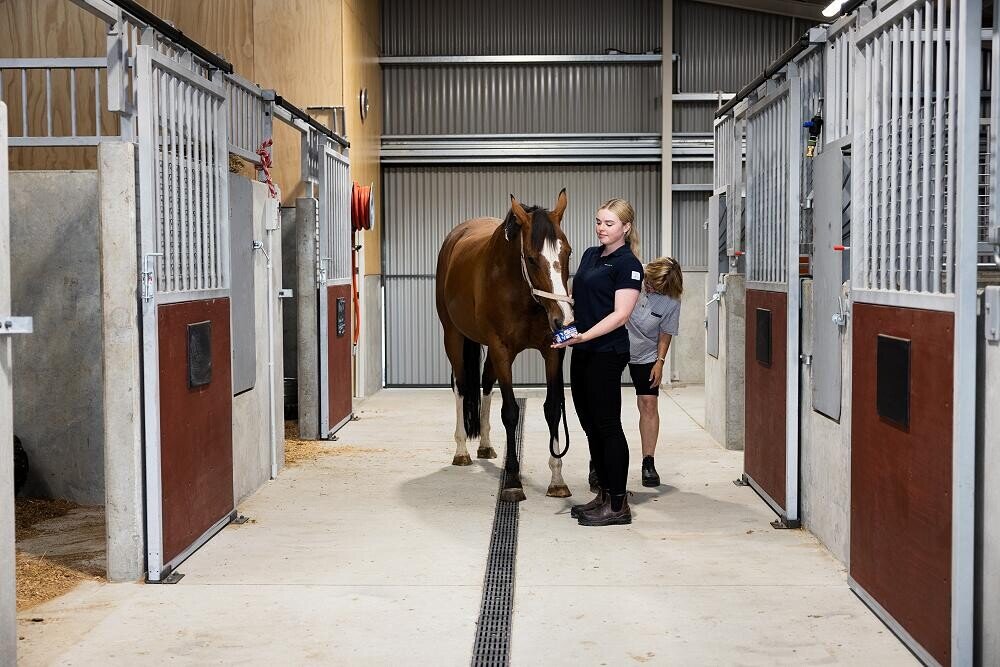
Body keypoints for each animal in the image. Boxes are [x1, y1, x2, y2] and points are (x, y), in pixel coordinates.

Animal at [435, 189, 574, 502]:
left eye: (568, 252)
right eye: (532, 259)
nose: (564, 319)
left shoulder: (551, 353)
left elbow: (552, 408)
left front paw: (557, 479)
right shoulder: (501, 350)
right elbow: (510, 413)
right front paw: (512, 481)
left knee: (486, 385)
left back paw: (485, 445)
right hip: (453, 336)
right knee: (462, 386)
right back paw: (461, 450)